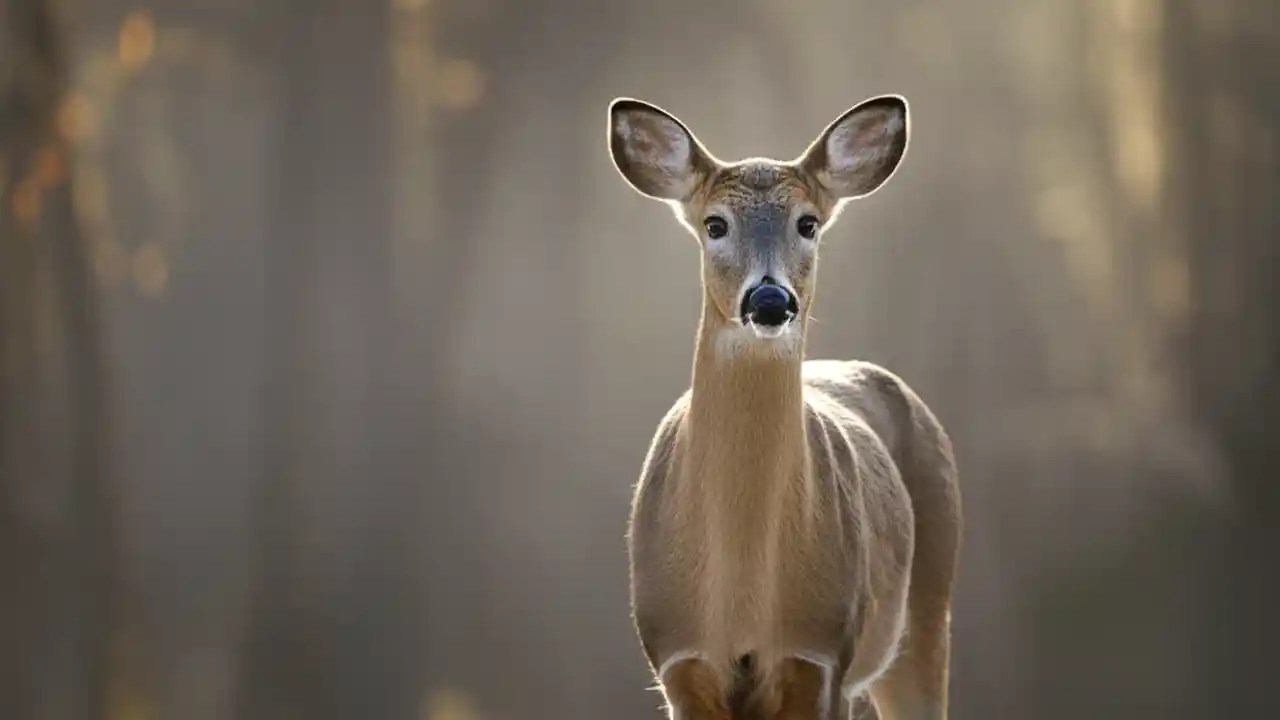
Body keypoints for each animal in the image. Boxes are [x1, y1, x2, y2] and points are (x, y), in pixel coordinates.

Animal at [606, 94, 962, 720]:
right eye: (715, 224)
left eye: (808, 223)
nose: (770, 299)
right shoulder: (677, 658)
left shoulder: (818, 654)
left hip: (925, 610)